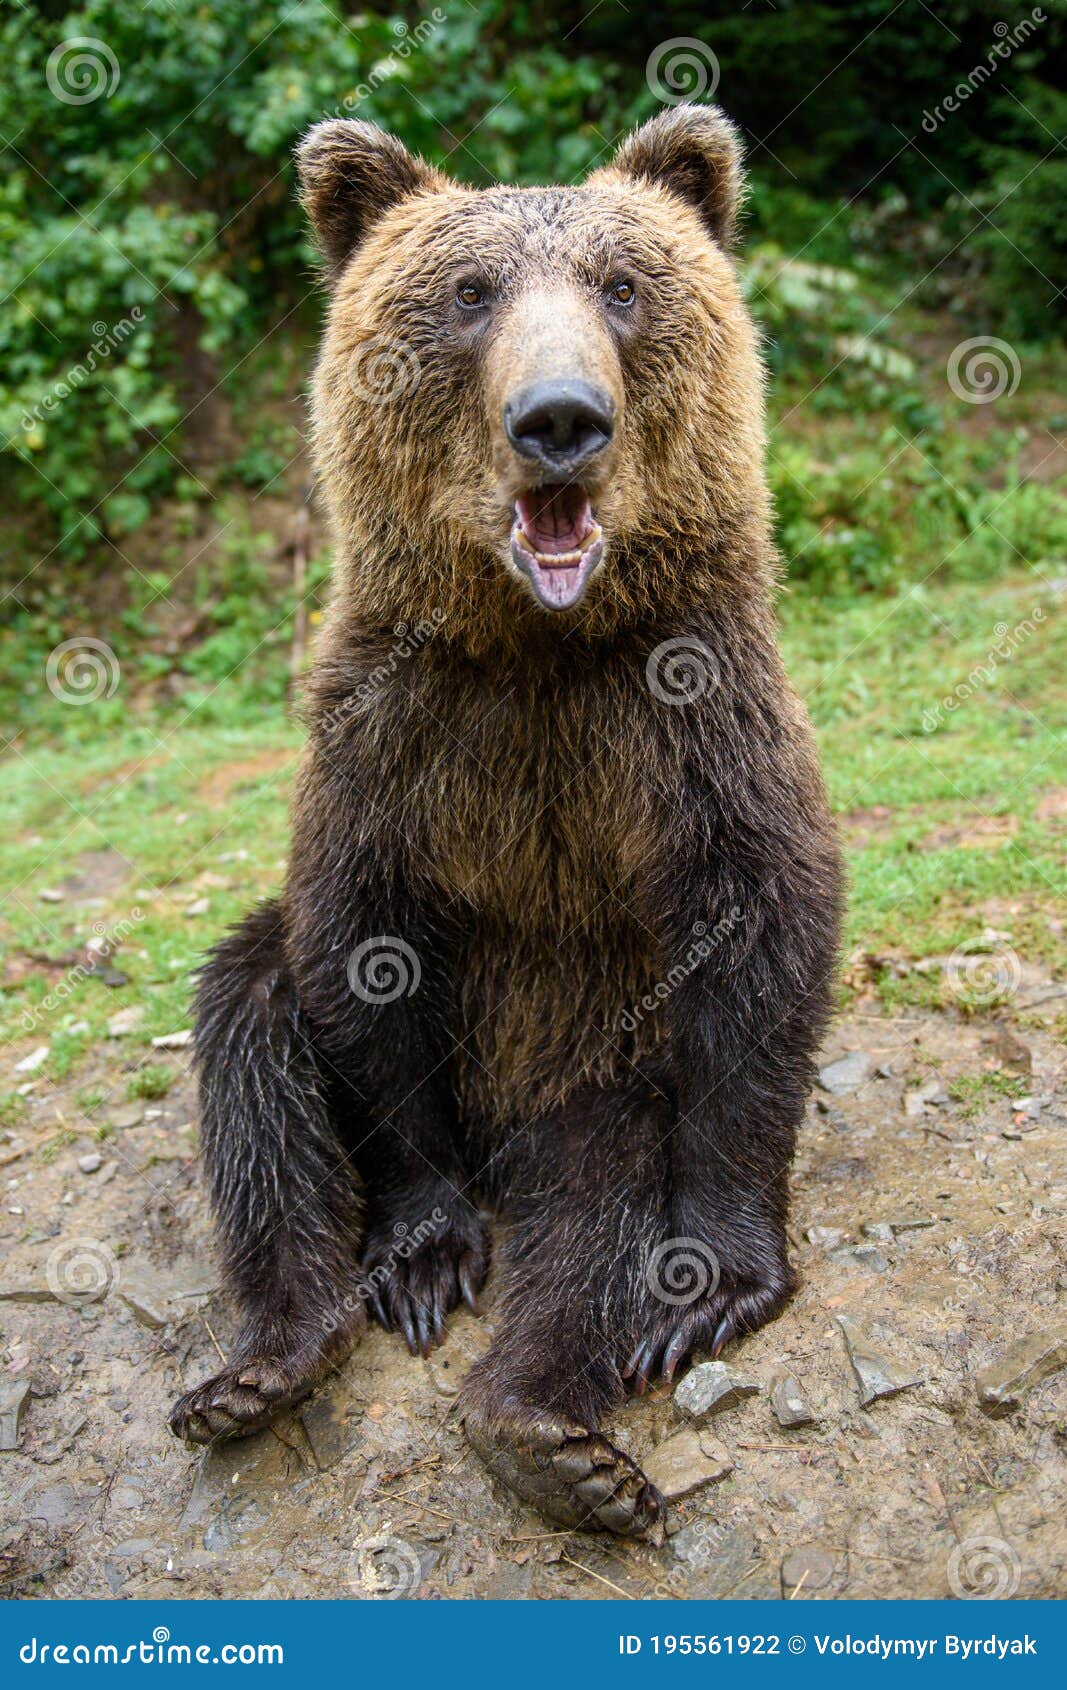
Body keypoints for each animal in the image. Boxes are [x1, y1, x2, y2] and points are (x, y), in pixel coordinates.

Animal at [168, 104, 844, 1544]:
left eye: (621, 285)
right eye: (471, 292)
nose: (559, 419)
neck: (537, 642)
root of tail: (511, 1140)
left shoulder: (681, 714)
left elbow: (762, 921)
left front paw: (722, 1280)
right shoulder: (394, 735)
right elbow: (357, 949)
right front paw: (420, 1254)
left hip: (608, 1064)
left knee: (596, 1230)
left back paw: (549, 1427)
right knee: (252, 1047)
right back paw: (266, 1362)